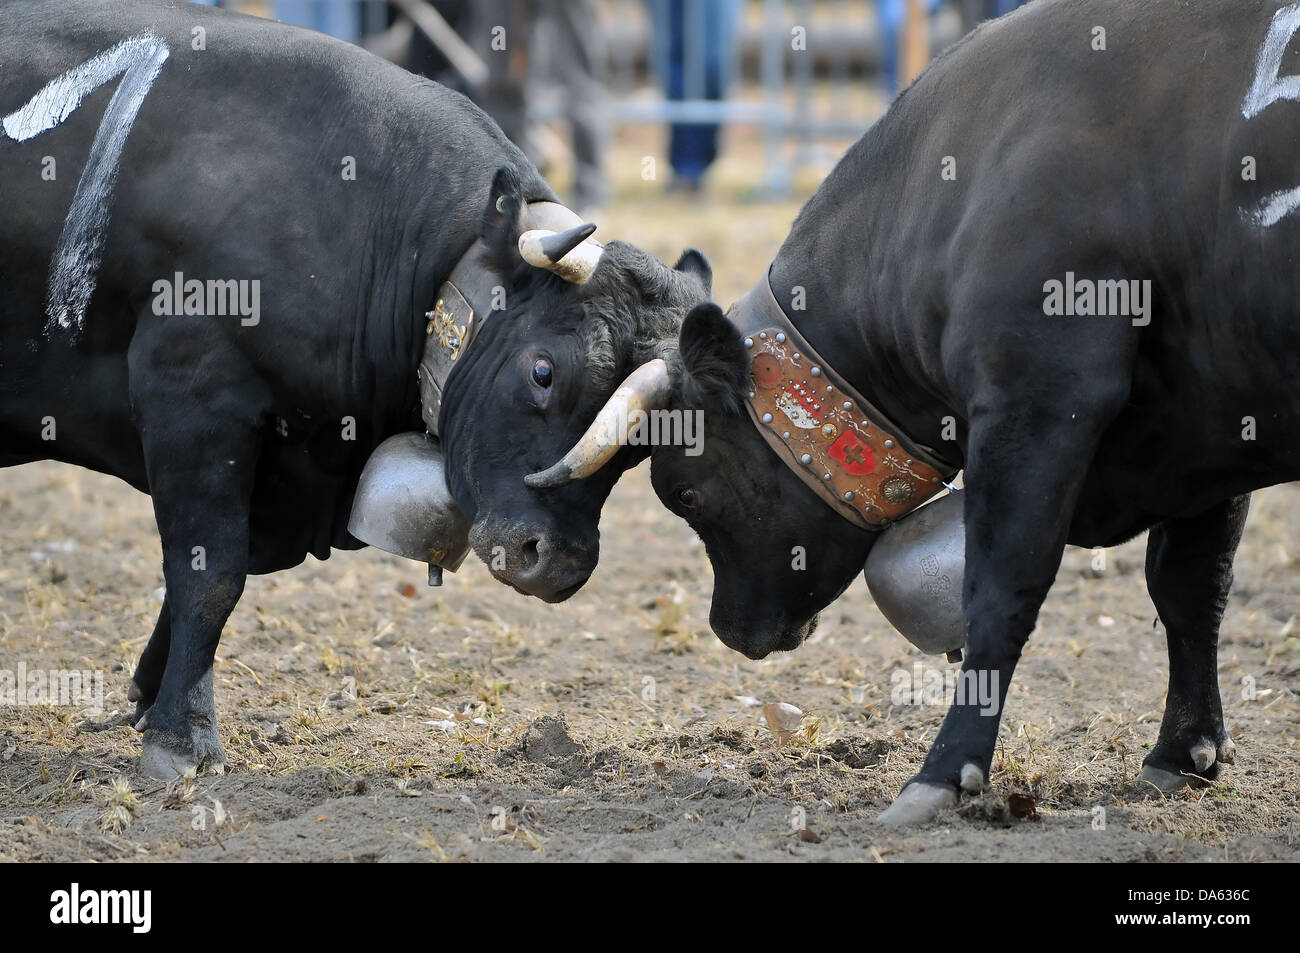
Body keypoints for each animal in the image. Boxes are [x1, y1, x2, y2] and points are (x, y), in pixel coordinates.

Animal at [0, 0, 711, 778]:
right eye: (544, 370)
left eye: (640, 446)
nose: (559, 562)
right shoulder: (193, 396)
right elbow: (209, 574)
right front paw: (180, 735)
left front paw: (153, 696)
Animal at [518, 0, 1300, 824]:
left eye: (686, 492)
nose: (728, 628)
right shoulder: (1211, 428)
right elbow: (1190, 590)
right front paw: (1184, 750)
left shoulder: (1039, 401)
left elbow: (999, 589)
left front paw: (945, 771)